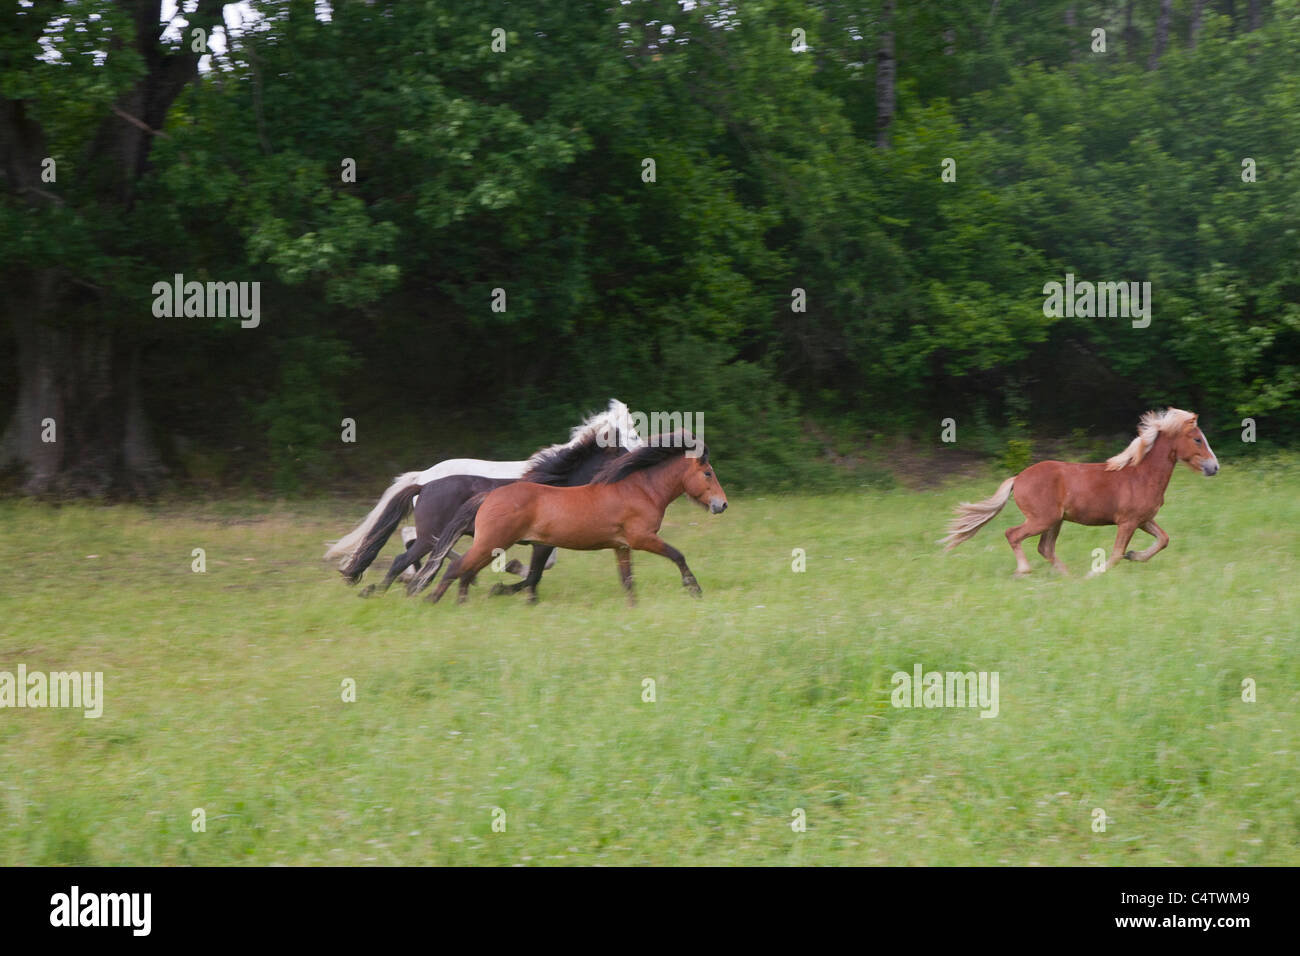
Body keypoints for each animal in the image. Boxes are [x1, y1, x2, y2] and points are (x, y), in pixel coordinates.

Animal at [323, 398, 641, 573]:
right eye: (635, 435)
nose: (646, 454)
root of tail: (423, 476)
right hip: (434, 526)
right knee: (416, 539)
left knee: (415, 538)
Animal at [425, 433, 727, 606]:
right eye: (708, 473)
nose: (722, 504)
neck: (640, 490)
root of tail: (489, 496)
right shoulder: (642, 538)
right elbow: (677, 555)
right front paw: (694, 589)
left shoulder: (621, 547)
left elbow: (627, 580)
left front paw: (634, 608)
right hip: (491, 542)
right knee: (457, 568)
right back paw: (434, 601)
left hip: (493, 545)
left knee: (465, 571)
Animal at [940, 408, 1219, 577]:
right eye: (1197, 439)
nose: (1214, 467)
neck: (1142, 474)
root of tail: (1017, 478)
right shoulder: (1128, 522)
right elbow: (1116, 553)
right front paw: (1095, 573)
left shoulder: (1144, 520)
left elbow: (1163, 539)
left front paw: (1134, 556)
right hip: (1043, 519)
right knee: (1013, 534)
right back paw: (1025, 571)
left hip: (1055, 521)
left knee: (1045, 548)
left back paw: (1067, 577)